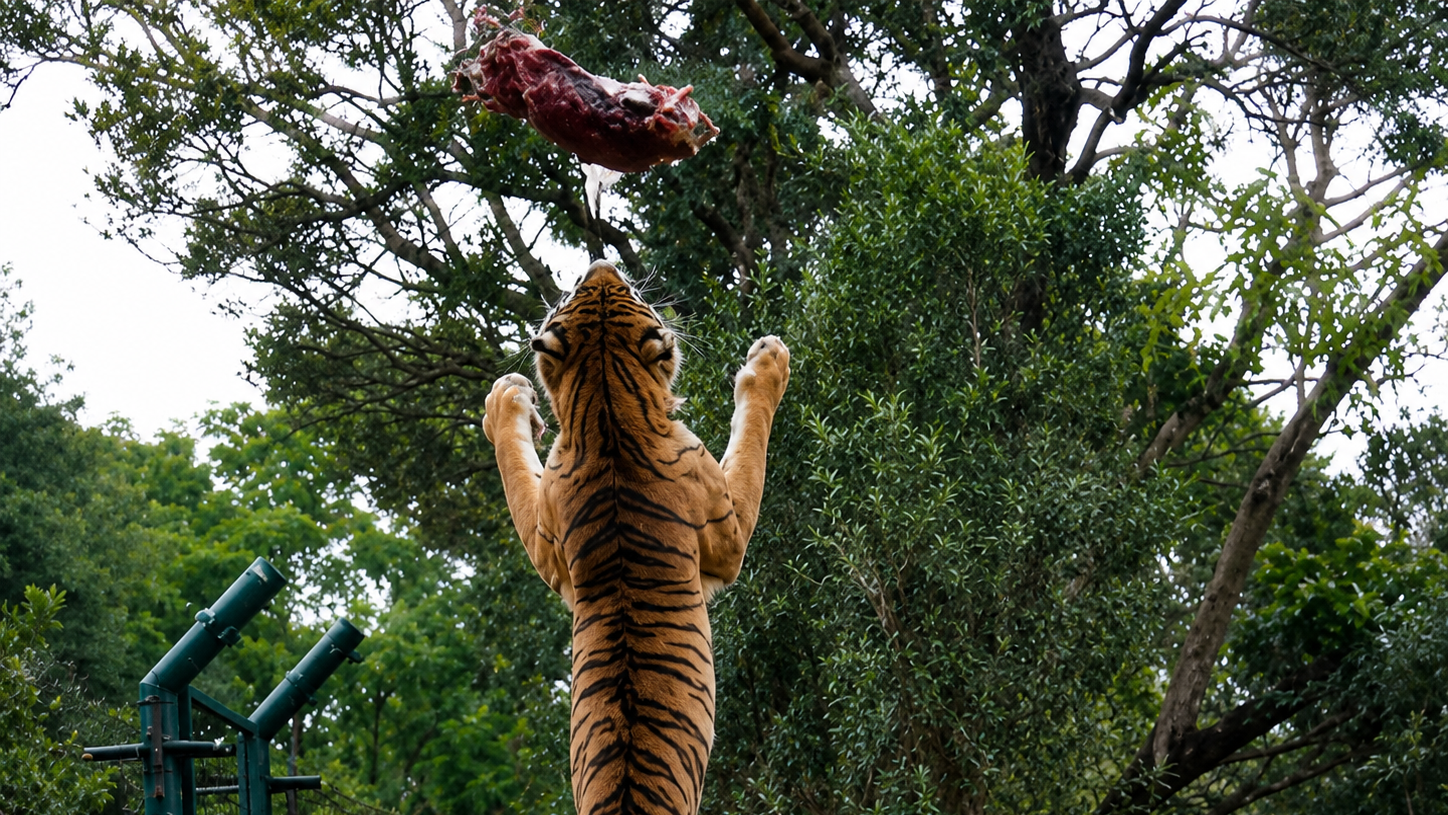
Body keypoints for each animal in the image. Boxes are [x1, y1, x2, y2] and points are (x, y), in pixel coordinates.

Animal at [482, 260, 790, 815]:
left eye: (584, 288)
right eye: (630, 290)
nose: (602, 264)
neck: (606, 402)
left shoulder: (545, 539)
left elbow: (516, 469)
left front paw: (507, 397)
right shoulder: (728, 534)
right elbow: (751, 438)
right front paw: (769, 360)